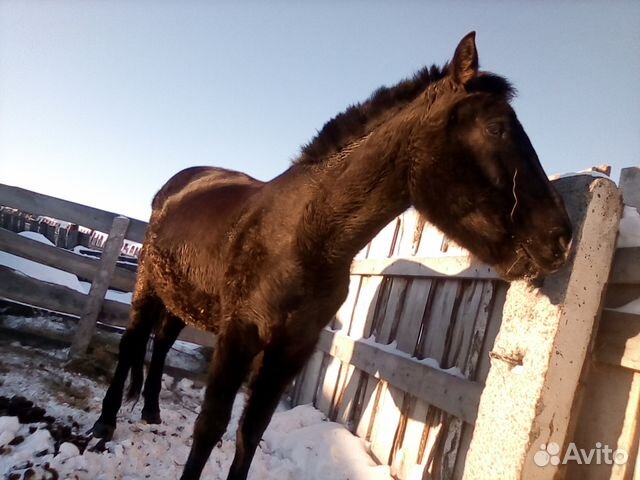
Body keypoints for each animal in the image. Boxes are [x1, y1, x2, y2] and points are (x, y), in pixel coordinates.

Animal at [92, 32, 572, 480]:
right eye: (496, 128)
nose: (561, 237)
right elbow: (211, 426)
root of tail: (177, 185)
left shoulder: (292, 349)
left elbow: (251, 431)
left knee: (162, 341)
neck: (305, 239)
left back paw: (151, 410)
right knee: (132, 341)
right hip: (148, 285)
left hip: (183, 298)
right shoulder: (239, 336)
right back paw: (103, 426)